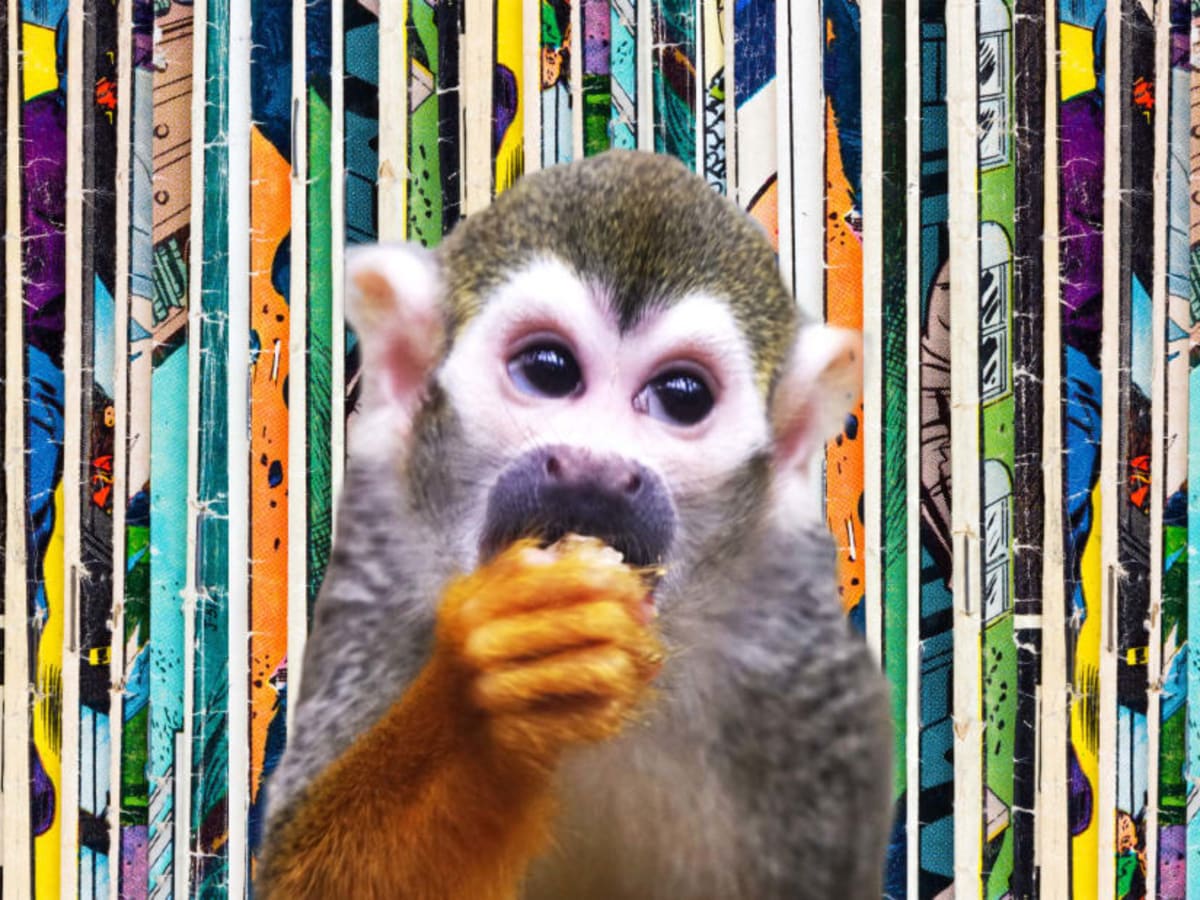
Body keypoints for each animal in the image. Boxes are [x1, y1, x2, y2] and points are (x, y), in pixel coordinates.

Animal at [257, 149, 893, 900]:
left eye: (683, 398)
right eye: (548, 370)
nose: (595, 471)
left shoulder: (793, 663)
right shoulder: (382, 565)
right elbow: (306, 874)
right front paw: (488, 702)